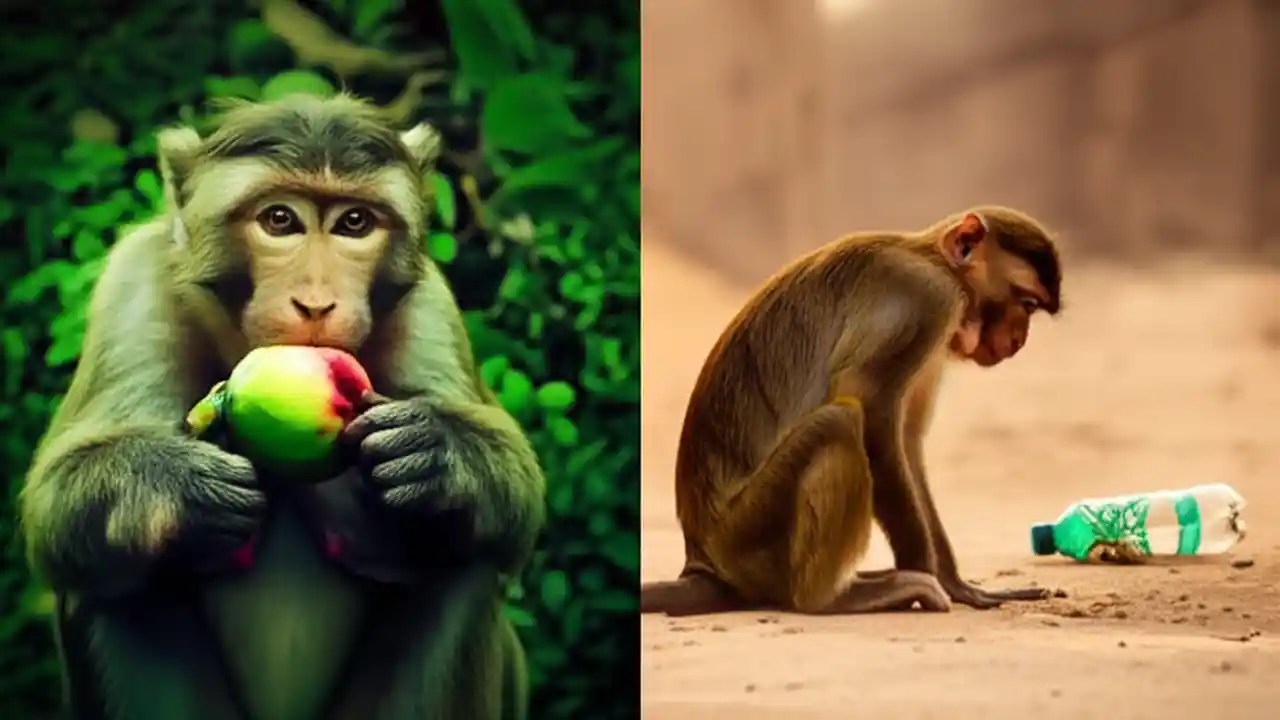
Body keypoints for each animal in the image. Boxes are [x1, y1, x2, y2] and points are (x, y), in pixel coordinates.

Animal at [19, 94, 546, 720]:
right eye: (279, 221)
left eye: (354, 223)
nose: (316, 303)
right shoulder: (135, 283)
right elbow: (53, 506)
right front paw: (173, 484)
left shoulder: (430, 303)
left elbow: (516, 510)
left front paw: (438, 453)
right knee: (113, 578)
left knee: (465, 558)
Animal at [640, 207, 1063, 616]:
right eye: (1027, 303)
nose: (1018, 339)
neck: (935, 261)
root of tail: (702, 558)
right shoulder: (926, 300)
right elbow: (873, 416)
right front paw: (927, 572)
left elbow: (906, 441)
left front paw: (952, 581)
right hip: (747, 534)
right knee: (839, 422)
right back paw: (830, 599)